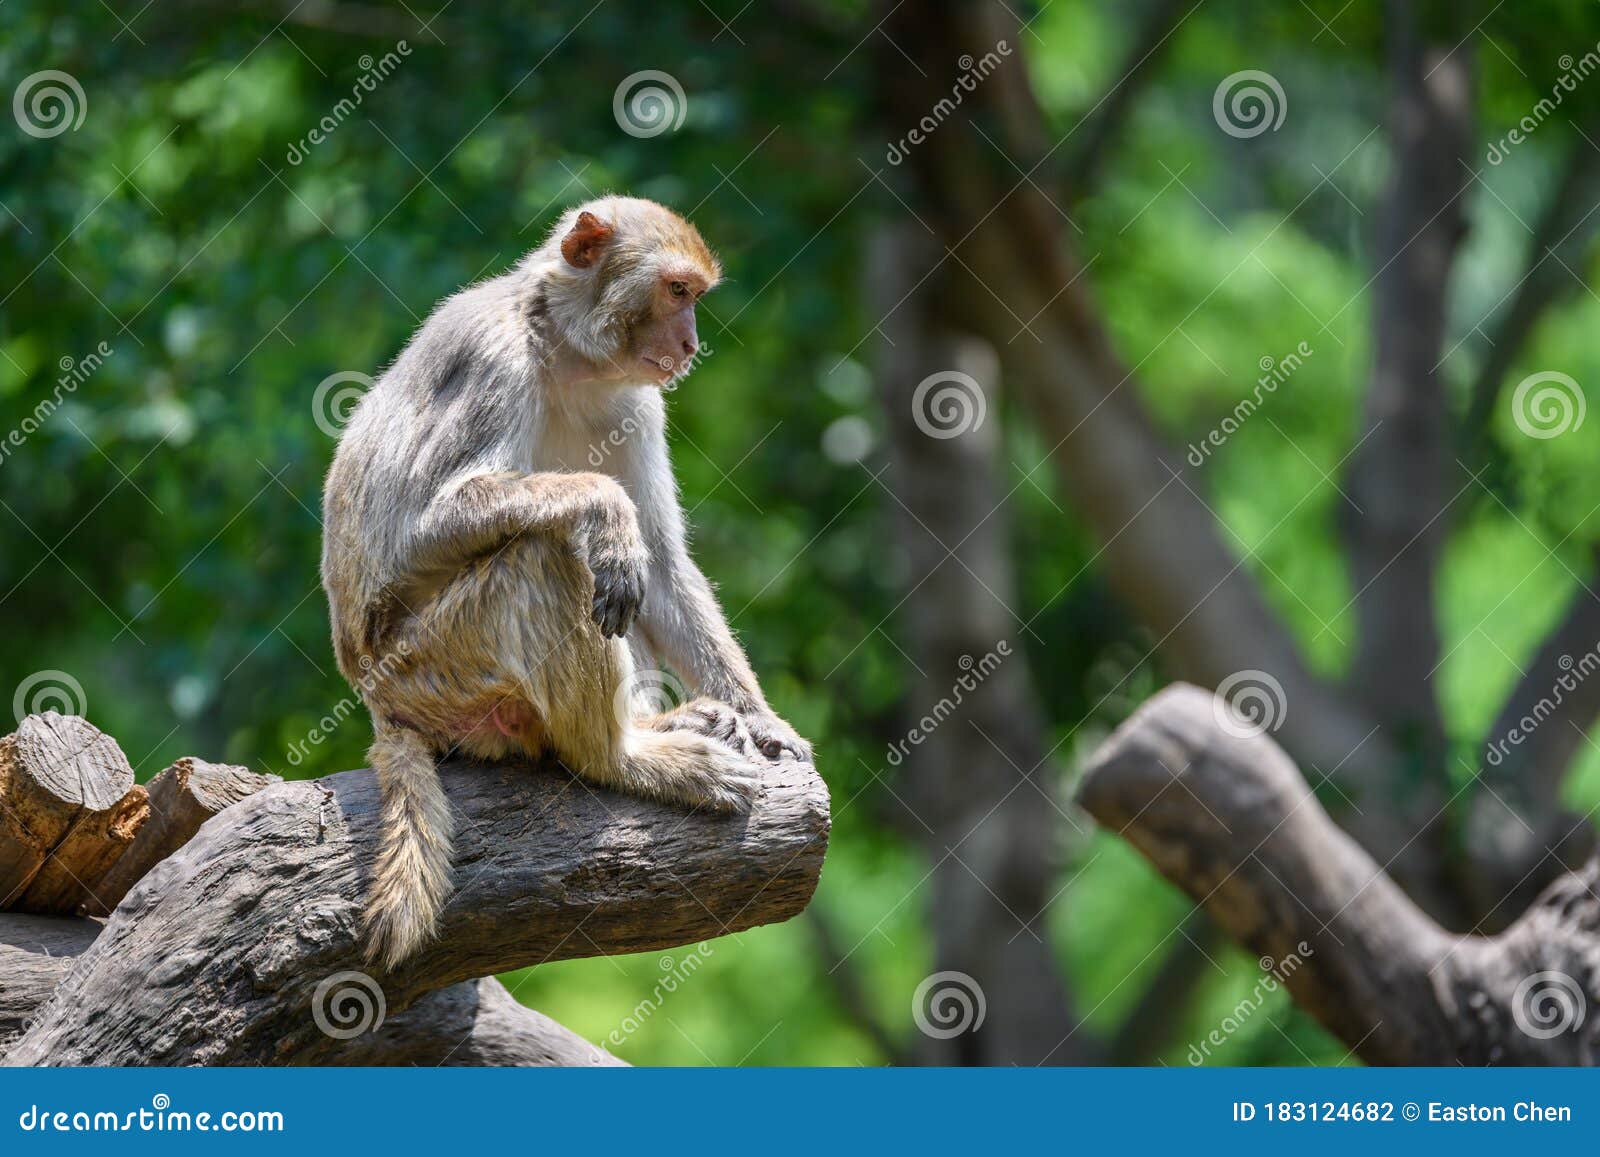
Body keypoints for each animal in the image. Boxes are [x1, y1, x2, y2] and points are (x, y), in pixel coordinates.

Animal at [320, 196, 810, 970]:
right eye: (677, 291)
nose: (690, 343)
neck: (568, 354)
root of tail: (376, 699)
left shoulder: (639, 401)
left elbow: (661, 565)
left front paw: (762, 719)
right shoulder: (492, 359)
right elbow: (423, 526)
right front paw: (603, 505)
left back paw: (659, 723)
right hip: (432, 669)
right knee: (544, 558)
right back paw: (624, 757)